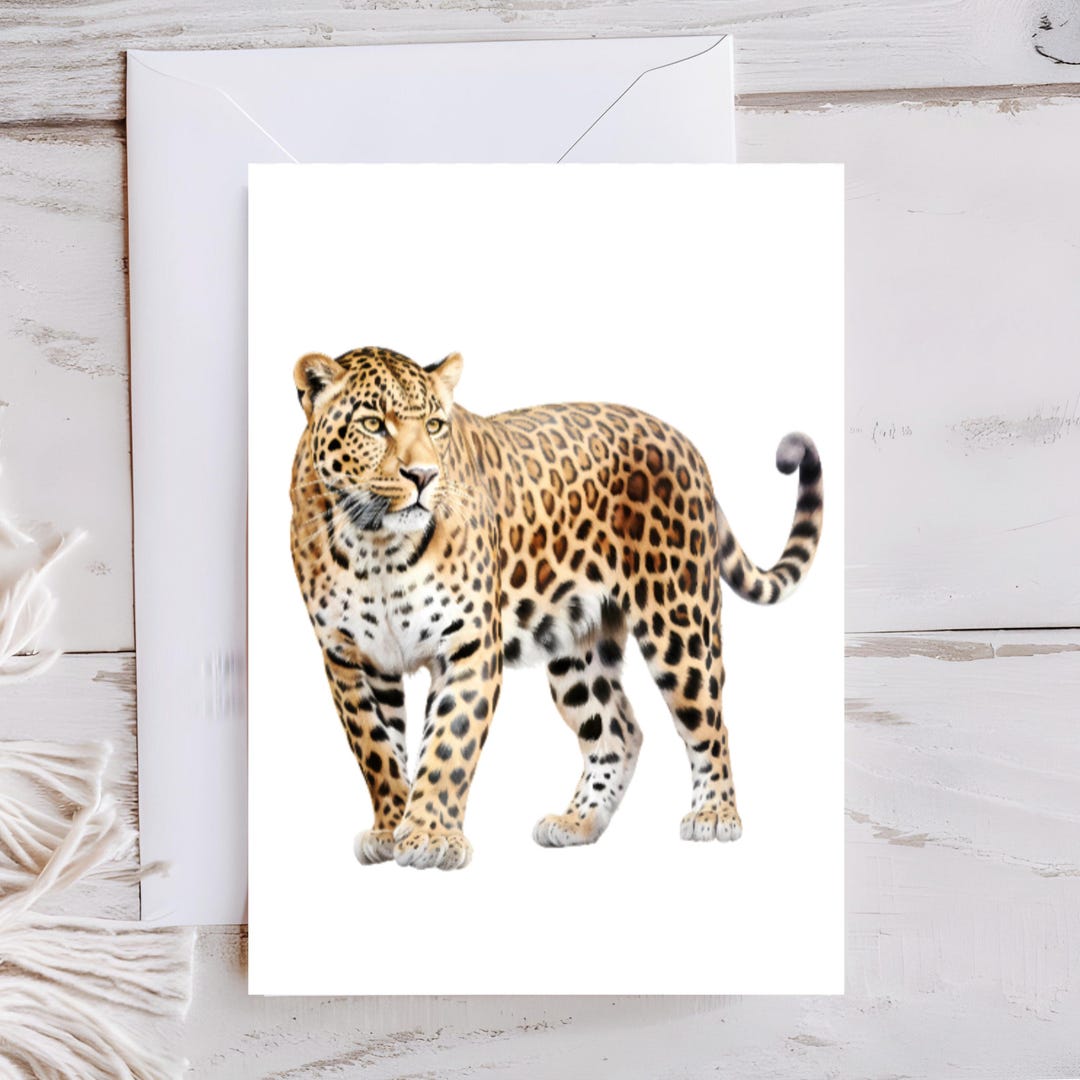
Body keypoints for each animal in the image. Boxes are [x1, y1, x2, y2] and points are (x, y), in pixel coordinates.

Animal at [290, 345, 823, 870]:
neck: (375, 545)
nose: (423, 476)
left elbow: (448, 743)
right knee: (618, 731)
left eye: (436, 425)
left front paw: (431, 836)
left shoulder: (468, 645)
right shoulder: (350, 658)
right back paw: (577, 822)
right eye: (372, 424)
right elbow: (377, 750)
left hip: (680, 622)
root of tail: (682, 441)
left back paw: (715, 814)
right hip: (577, 646)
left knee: (710, 723)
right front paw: (391, 827)